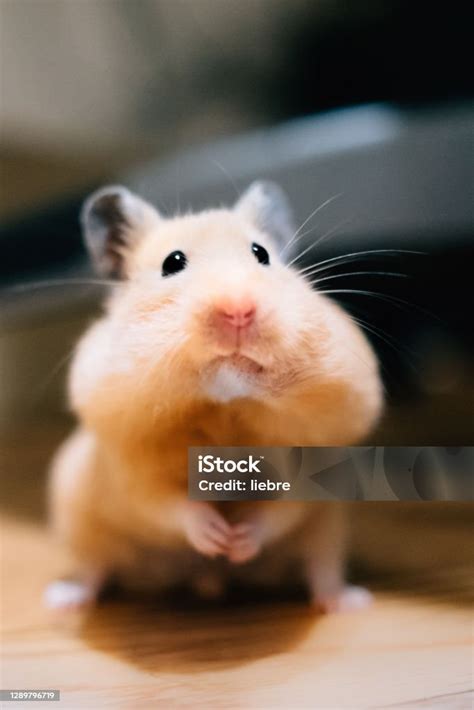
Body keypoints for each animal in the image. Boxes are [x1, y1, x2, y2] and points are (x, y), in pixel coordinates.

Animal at [44, 181, 382, 613]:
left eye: (261, 254)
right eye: (172, 263)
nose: (238, 310)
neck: (226, 406)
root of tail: (208, 581)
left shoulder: (314, 469)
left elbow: (282, 508)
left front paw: (237, 542)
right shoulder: (132, 471)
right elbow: (168, 506)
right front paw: (217, 536)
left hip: (329, 527)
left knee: (321, 567)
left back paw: (347, 601)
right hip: (82, 522)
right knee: (94, 569)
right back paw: (63, 600)